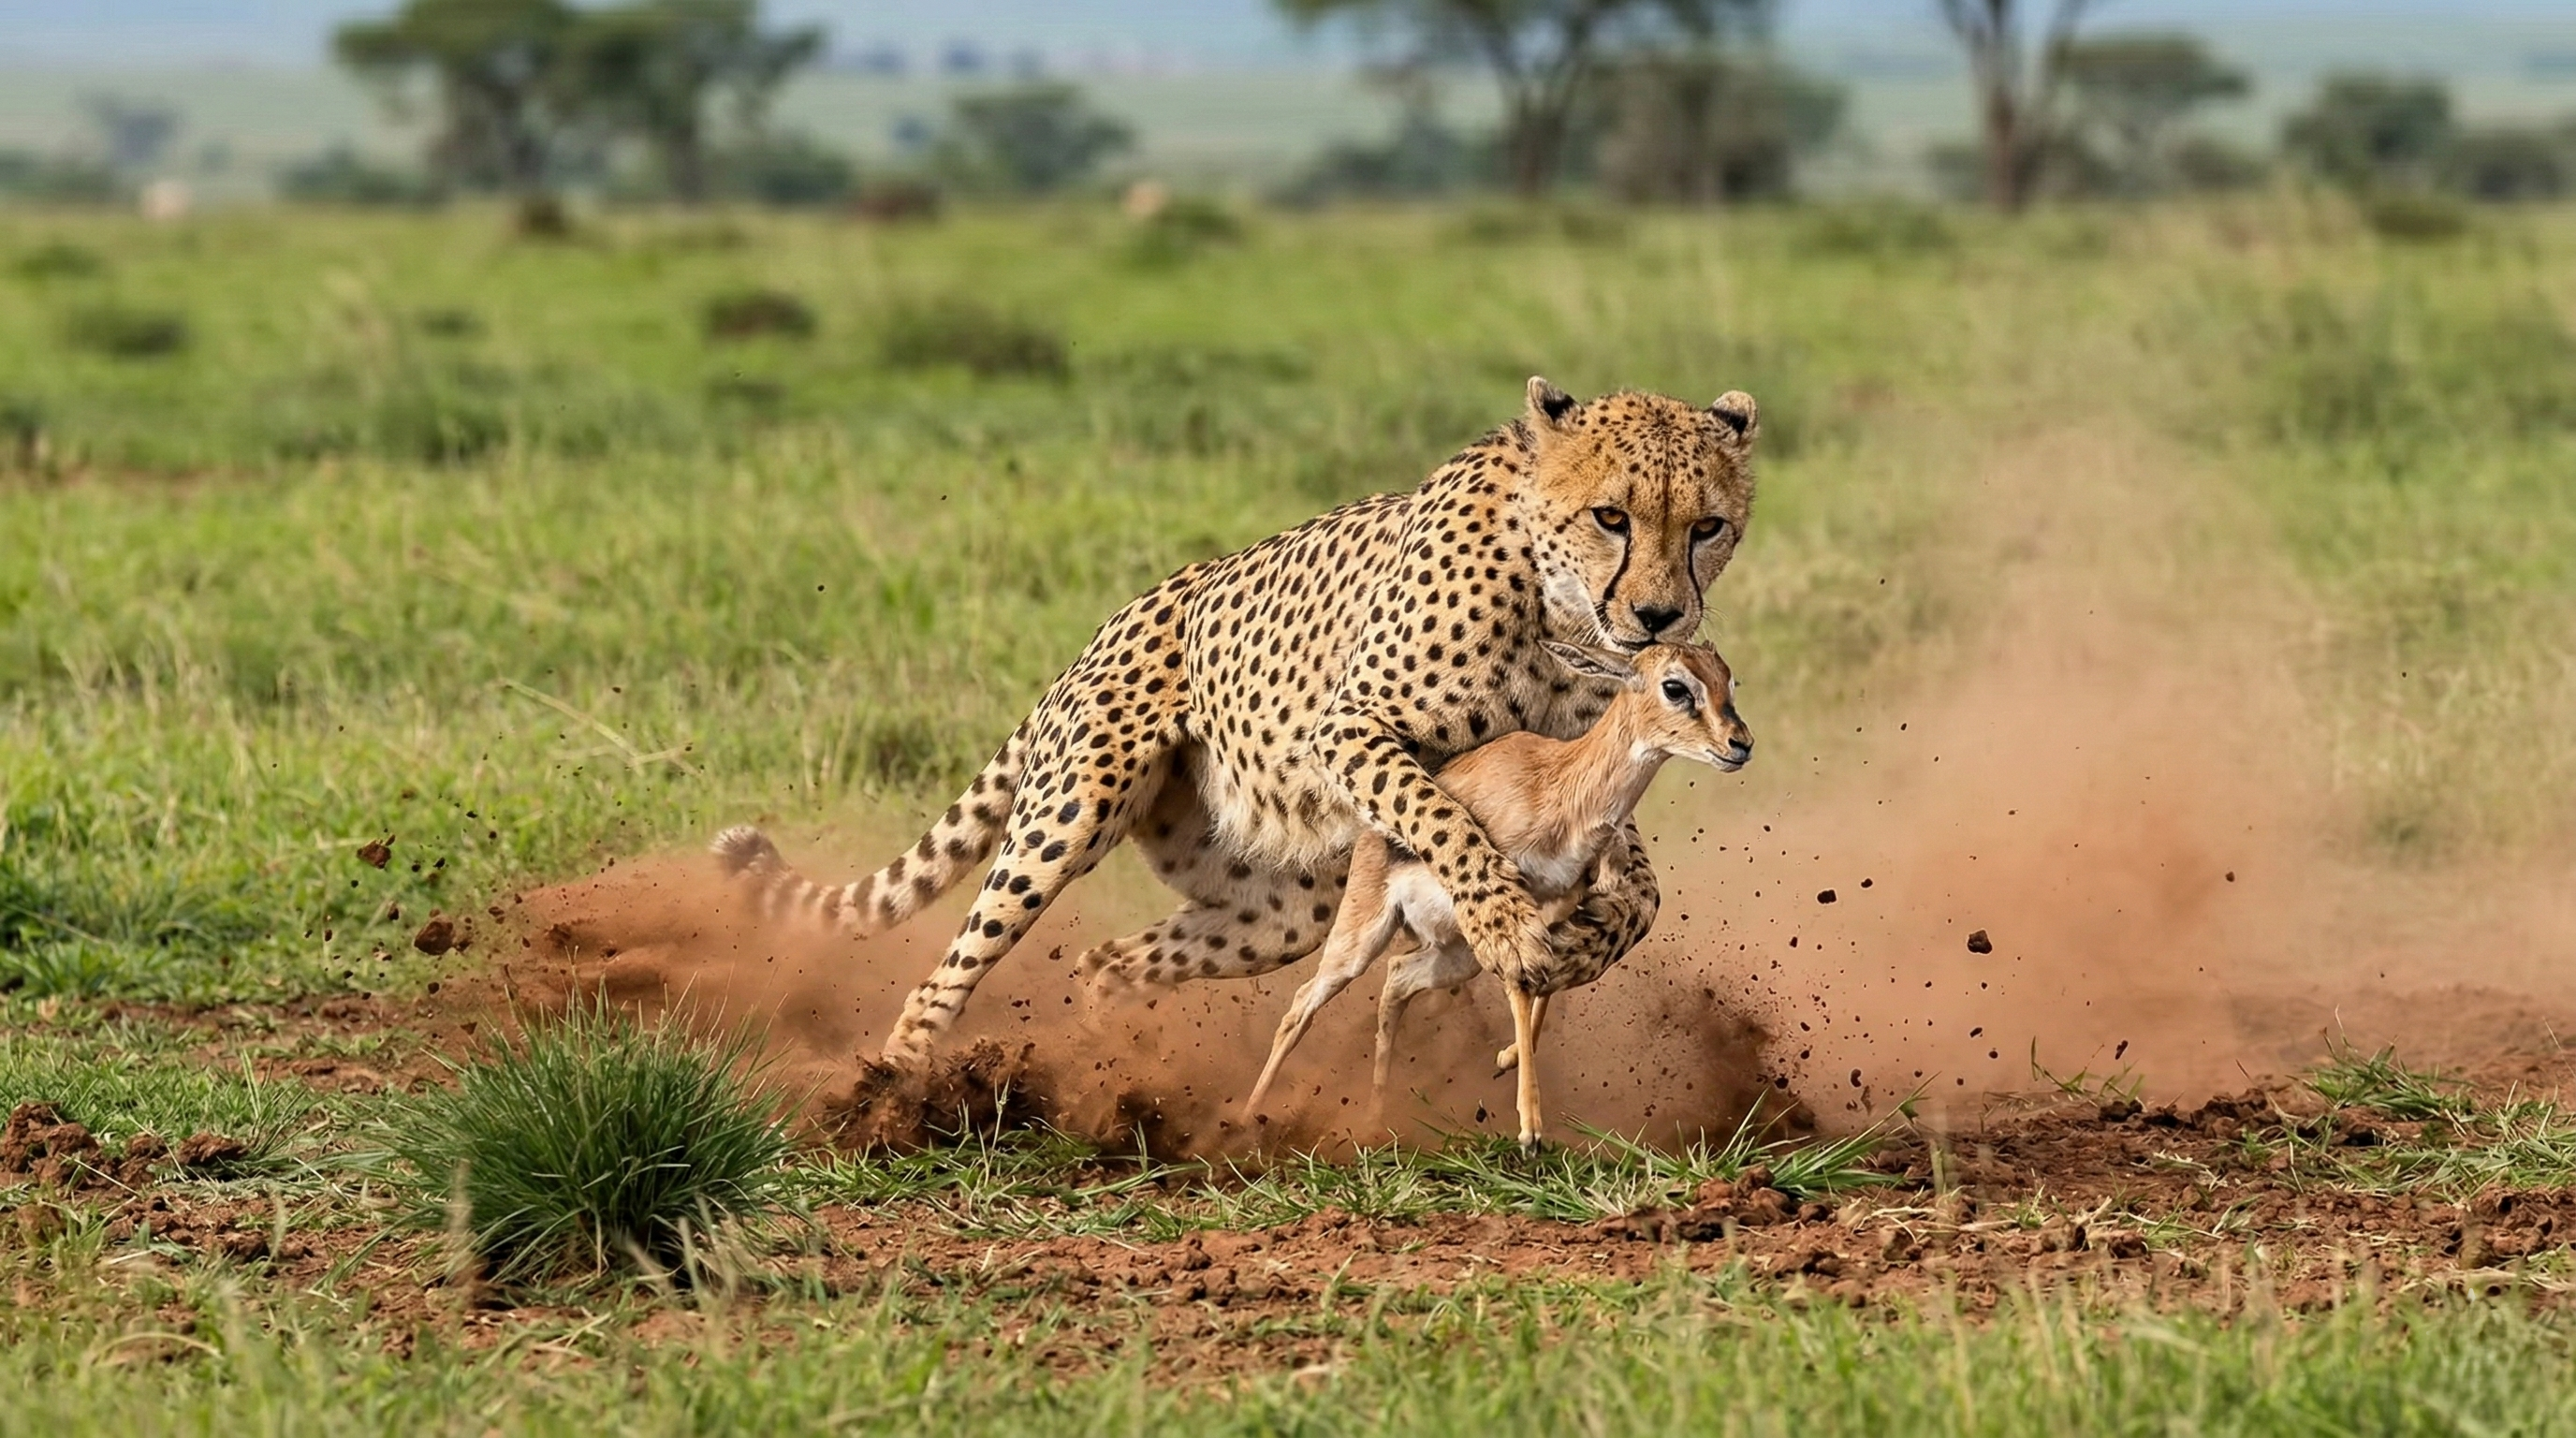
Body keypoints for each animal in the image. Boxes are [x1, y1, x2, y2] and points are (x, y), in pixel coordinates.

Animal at [712, 377, 1760, 1064]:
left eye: (1706, 526)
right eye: (1612, 517)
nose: (1658, 616)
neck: (1554, 605)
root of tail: (1108, 627)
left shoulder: (1587, 769)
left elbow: (1642, 890)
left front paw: (1586, 936)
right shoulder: (1351, 731)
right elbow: (1444, 818)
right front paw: (1505, 921)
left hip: (1282, 903)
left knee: (1110, 959)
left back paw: (1121, 1066)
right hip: (1074, 811)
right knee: (952, 968)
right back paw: (898, 1093)